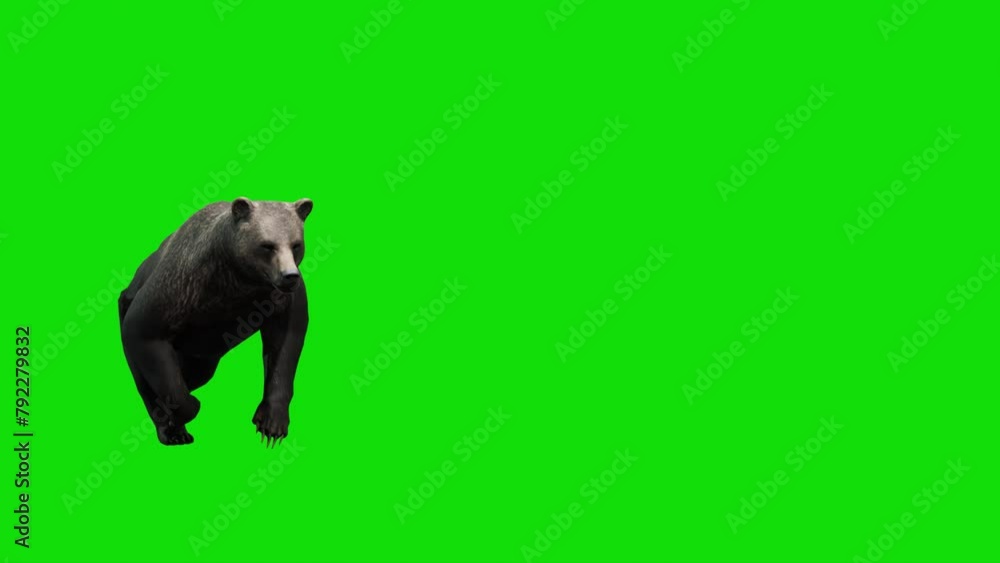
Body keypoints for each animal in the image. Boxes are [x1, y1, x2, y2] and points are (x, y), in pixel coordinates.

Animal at [118, 196, 312, 447]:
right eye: (267, 245)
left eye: (296, 244)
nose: (289, 276)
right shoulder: (180, 286)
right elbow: (144, 329)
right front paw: (183, 411)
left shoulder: (277, 300)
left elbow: (285, 344)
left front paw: (271, 425)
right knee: (145, 378)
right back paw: (171, 431)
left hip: (202, 354)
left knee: (198, 372)